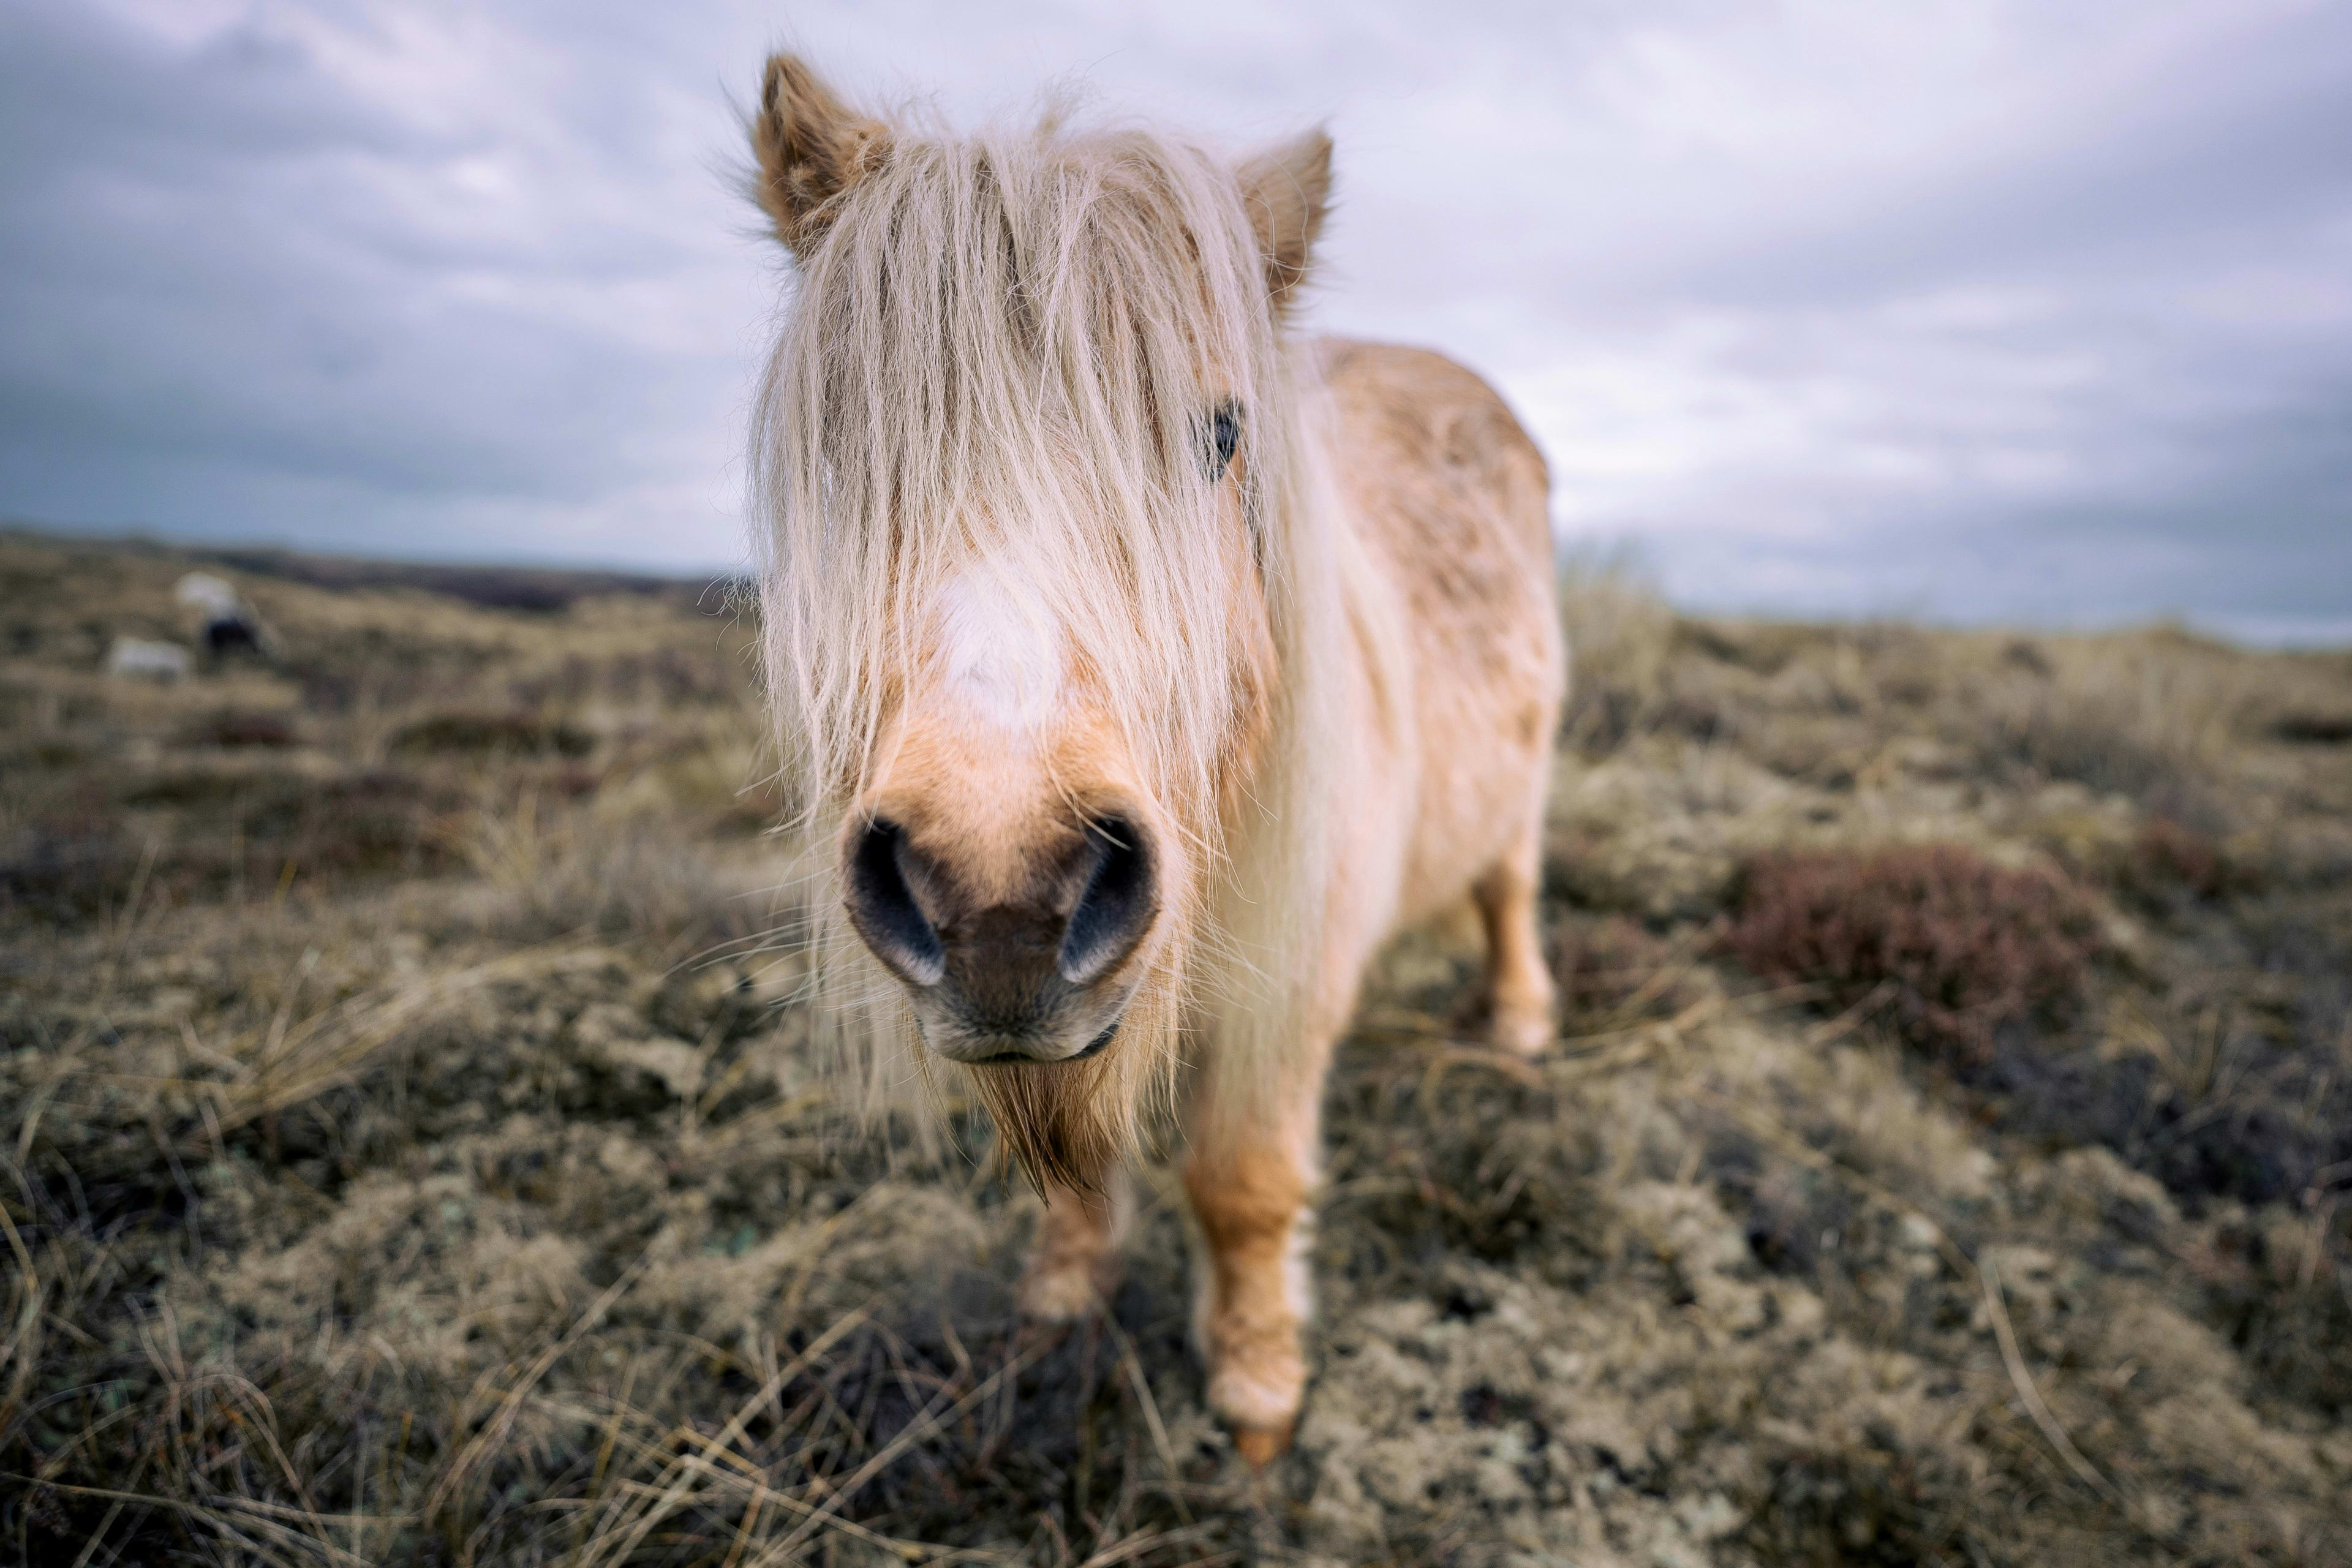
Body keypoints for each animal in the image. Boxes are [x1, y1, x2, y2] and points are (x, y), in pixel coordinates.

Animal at [744, 55, 1564, 1463]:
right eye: (851, 448)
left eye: (1221, 436)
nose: (1001, 889)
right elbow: (1079, 1179)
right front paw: (1063, 1297)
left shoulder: (1293, 983)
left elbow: (1243, 1183)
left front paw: (1258, 1390)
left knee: (1509, 886)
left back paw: (1515, 1021)